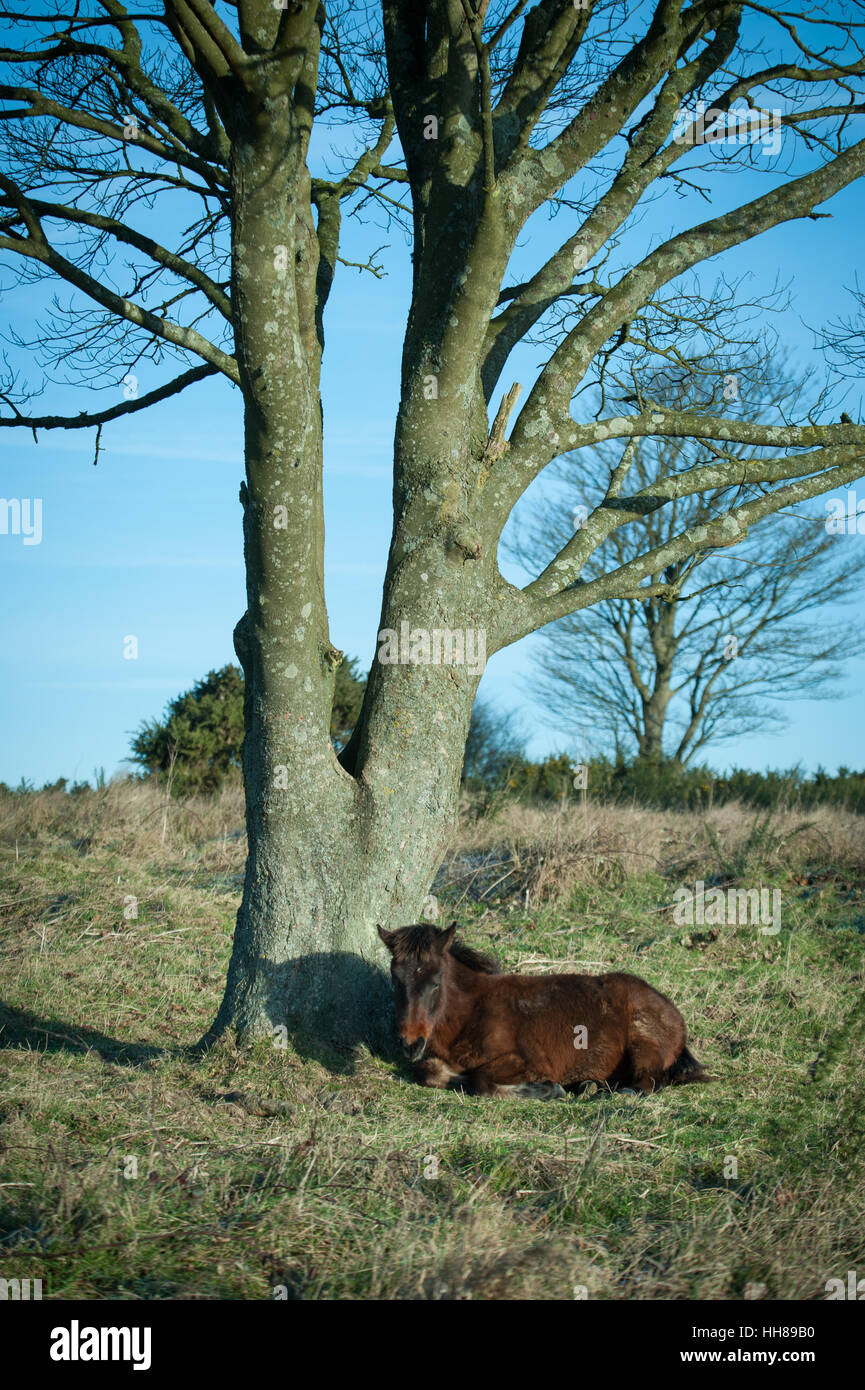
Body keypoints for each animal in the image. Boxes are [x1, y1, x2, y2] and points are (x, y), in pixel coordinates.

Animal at [377, 921, 712, 1099]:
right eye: (395, 980)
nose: (410, 1044)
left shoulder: (528, 1060)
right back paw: (589, 1084)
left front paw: (547, 1089)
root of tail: (675, 1014)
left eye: (435, 982)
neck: (471, 1011)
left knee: (649, 1082)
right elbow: (428, 1072)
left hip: (644, 1040)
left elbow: (481, 1081)